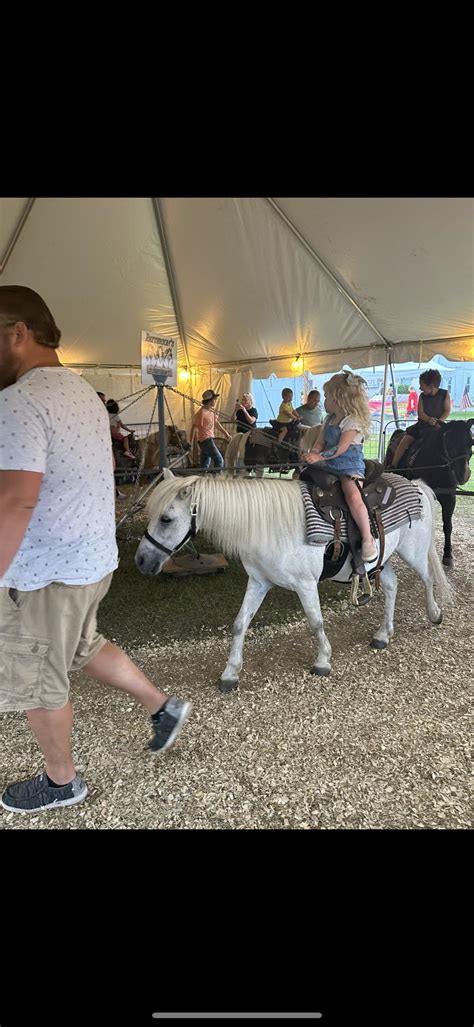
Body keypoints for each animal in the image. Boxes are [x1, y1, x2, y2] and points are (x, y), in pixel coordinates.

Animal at [135, 470, 451, 688]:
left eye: (166, 519)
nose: (141, 561)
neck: (270, 526)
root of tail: (416, 484)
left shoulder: (306, 585)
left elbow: (316, 622)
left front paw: (323, 661)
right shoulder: (258, 583)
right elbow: (239, 624)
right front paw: (230, 673)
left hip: (413, 552)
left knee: (427, 579)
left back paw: (434, 614)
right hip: (383, 561)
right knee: (392, 587)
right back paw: (383, 634)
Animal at [385, 418, 473, 567]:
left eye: (470, 441)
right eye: (448, 441)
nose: (463, 474)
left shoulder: (450, 497)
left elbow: (448, 526)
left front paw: (448, 555)